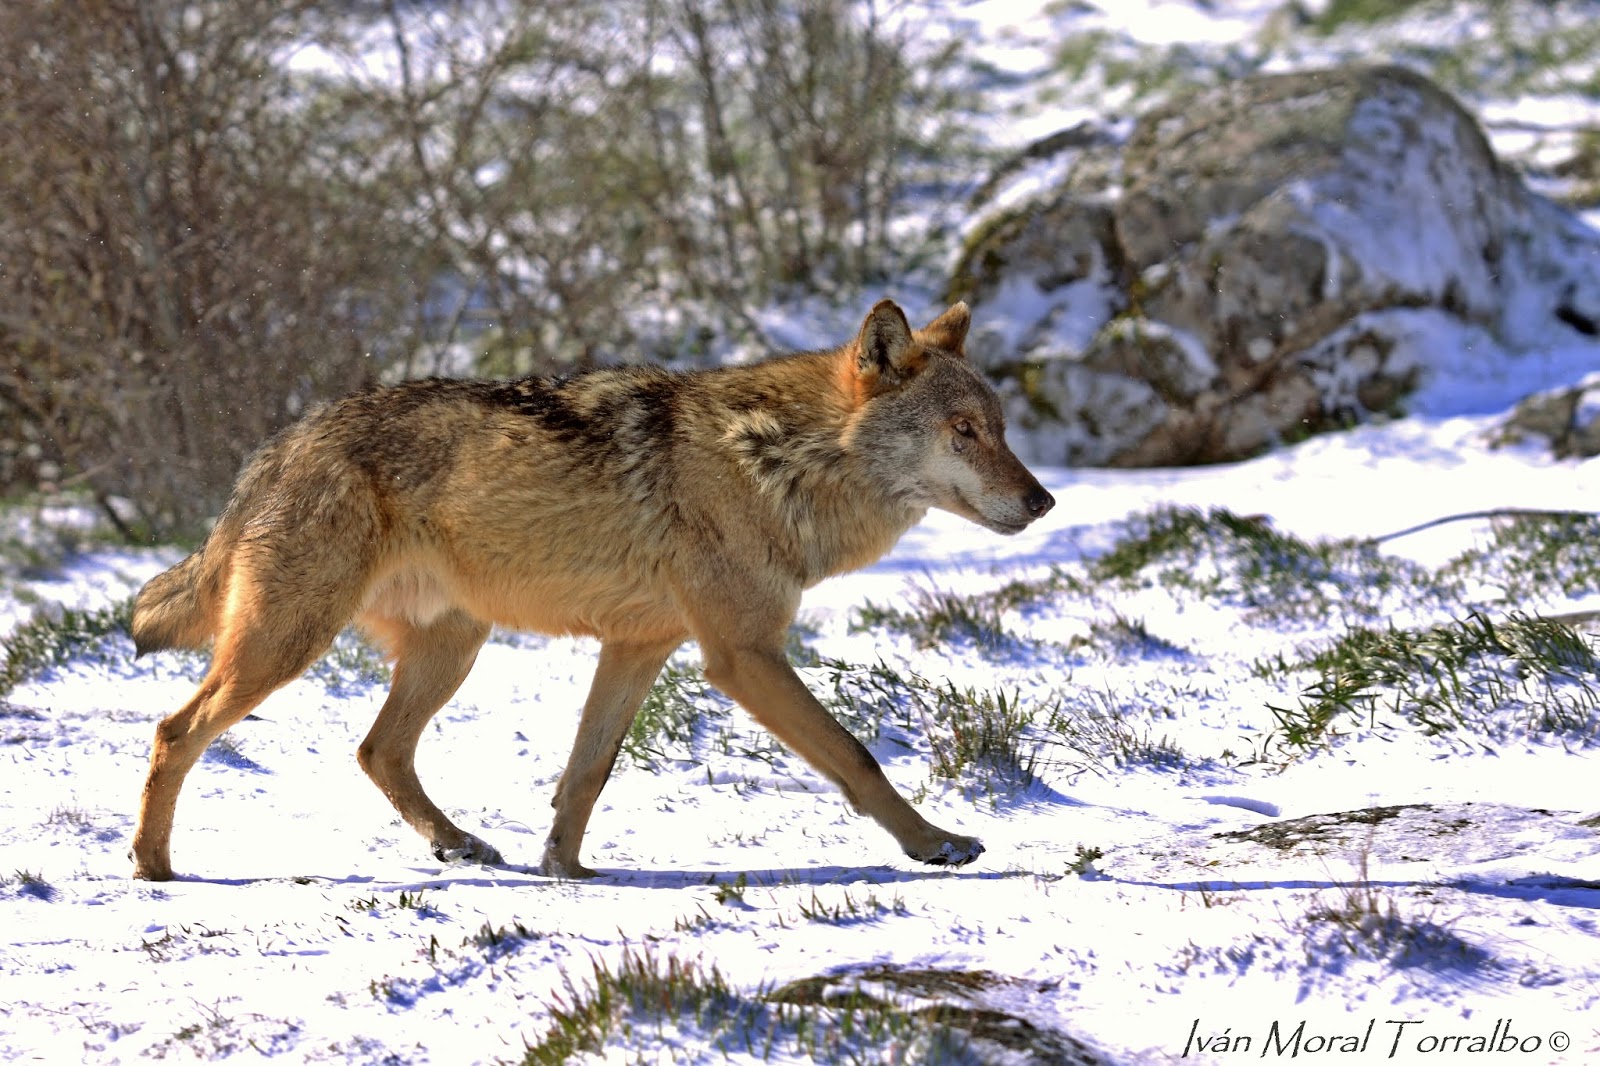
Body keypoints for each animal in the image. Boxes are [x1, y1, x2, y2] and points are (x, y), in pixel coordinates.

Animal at [128, 299, 1055, 880]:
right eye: (962, 432)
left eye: (1002, 429)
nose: (1043, 500)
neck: (777, 462)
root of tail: (275, 448)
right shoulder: (741, 656)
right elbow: (857, 756)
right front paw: (935, 844)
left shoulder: (640, 648)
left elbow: (587, 774)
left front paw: (564, 869)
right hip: (291, 645)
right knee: (176, 730)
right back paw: (155, 866)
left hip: (451, 649)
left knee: (377, 749)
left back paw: (460, 846)